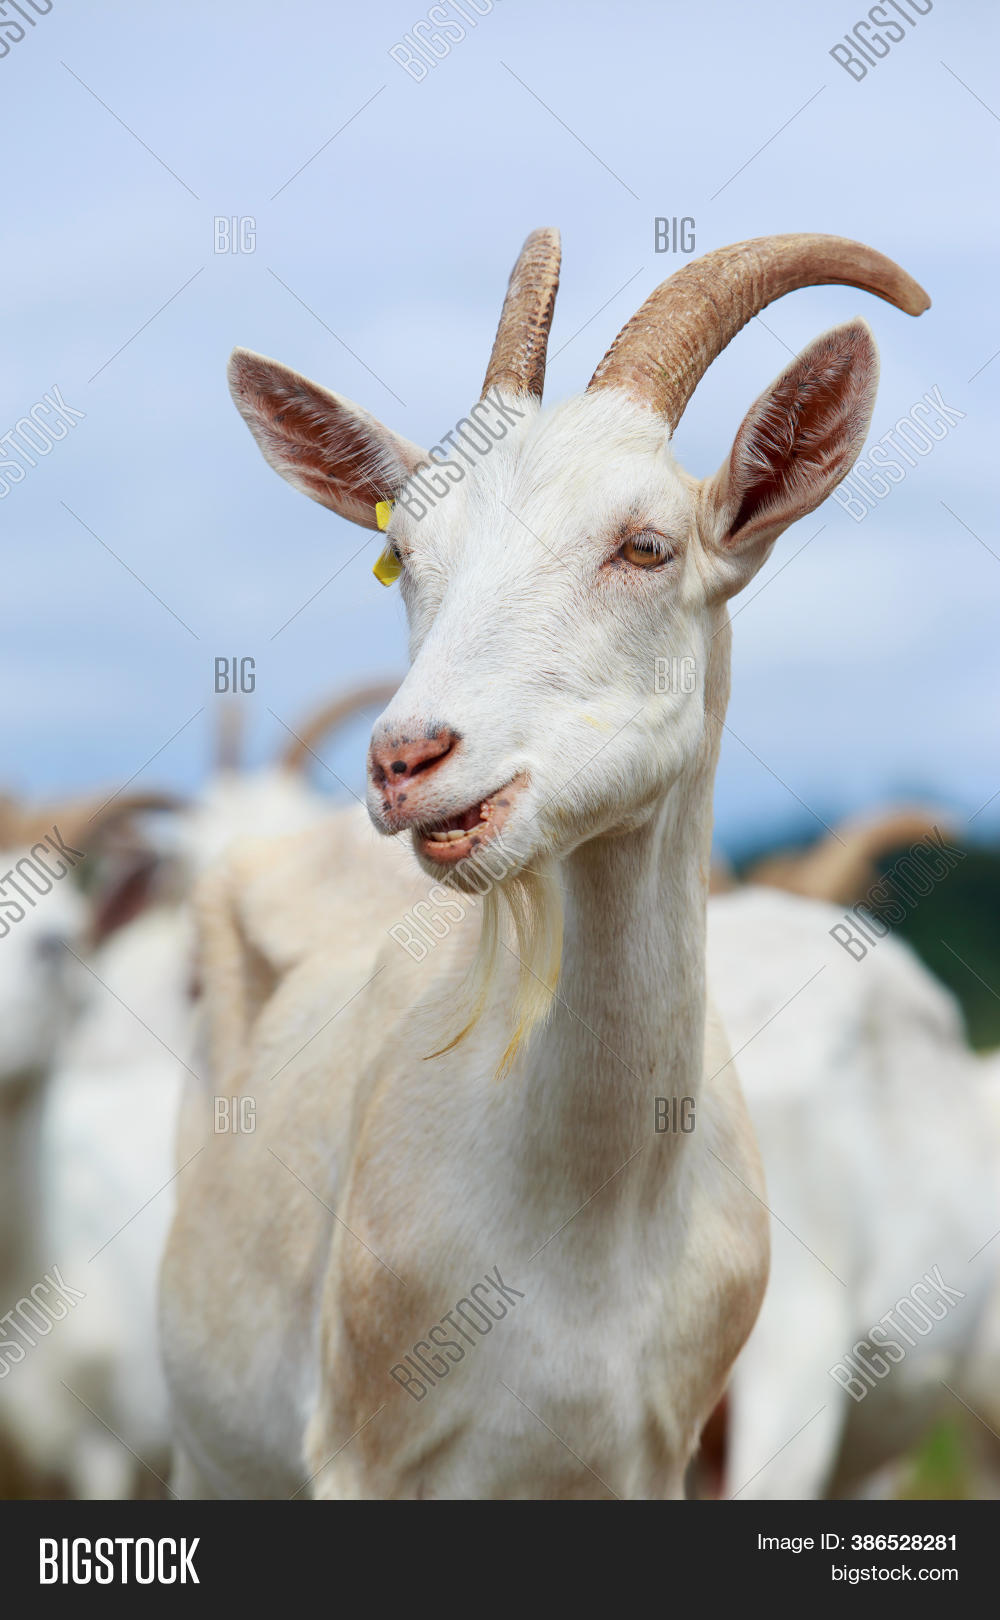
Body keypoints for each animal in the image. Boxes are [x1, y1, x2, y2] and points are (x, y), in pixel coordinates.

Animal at [160, 229, 929, 1499]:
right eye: (401, 551)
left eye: (644, 545)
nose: (406, 757)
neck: (589, 1216)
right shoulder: (362, 1455)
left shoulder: (653, 1456)